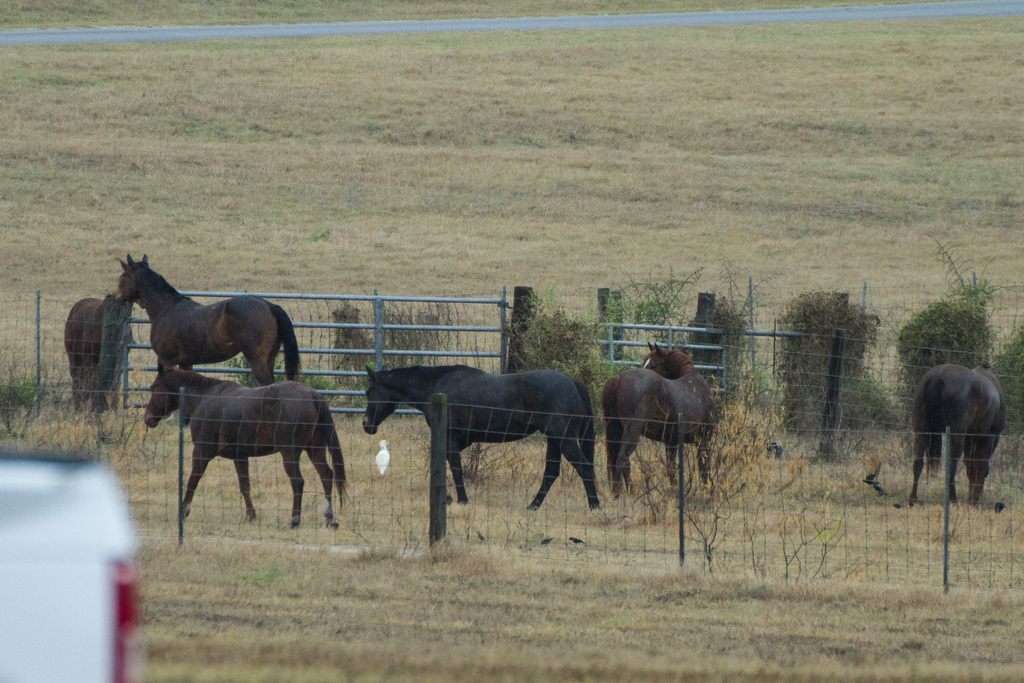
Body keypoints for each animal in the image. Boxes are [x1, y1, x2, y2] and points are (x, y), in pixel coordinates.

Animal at [116, 254, 300, 386]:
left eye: (124, 275)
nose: (118, 297)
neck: (166, 309)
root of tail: (270, 305)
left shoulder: (166, 359)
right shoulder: (186, 363)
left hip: (257, 361)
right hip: (270, 359)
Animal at [144, 366, 346, 528]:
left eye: (153, 389)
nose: (147, 418)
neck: (205, 398)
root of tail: (313, 395)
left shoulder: (202, 452)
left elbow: (193, 480)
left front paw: (183, 511)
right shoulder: (240, 456)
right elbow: (245, 486)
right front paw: (251, 515)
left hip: (290, 453)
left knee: (298, 482)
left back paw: (295, 520)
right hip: (315, 449)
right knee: (326, 476)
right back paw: (330, 519)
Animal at [362, 364, 600, 511]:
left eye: (368, 392)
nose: (366, 424)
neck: (438, 386)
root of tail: (573, 383)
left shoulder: (450, 439)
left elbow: (456, 470)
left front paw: (461, 500)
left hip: (564, 439)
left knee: (584, 467)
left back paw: (595, 506)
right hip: (554, 440)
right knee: (551, 473)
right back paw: (533, 505)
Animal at [601, 343, 717, 498]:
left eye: (653, 365)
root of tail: (617, 378)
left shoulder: (672, 442)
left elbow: (671, 467)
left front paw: (674, 490)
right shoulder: (704, 440)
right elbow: (703, 465)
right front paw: (706, 490)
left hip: (616, 430)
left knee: (616, 461)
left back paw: (624, 491)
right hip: (632, 432)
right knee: (622, 459)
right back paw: (625, 493)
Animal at [909, 363, 1005, 506]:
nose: (979, 495)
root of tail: (938, 376)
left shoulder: (970, 437)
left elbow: (970, 465)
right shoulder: (989, 436)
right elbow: (980, 465)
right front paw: (974, 498)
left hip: (921, 430)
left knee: (917, 462)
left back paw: (913, 499)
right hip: (956, 435)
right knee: (951, 466)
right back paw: (953, 499)